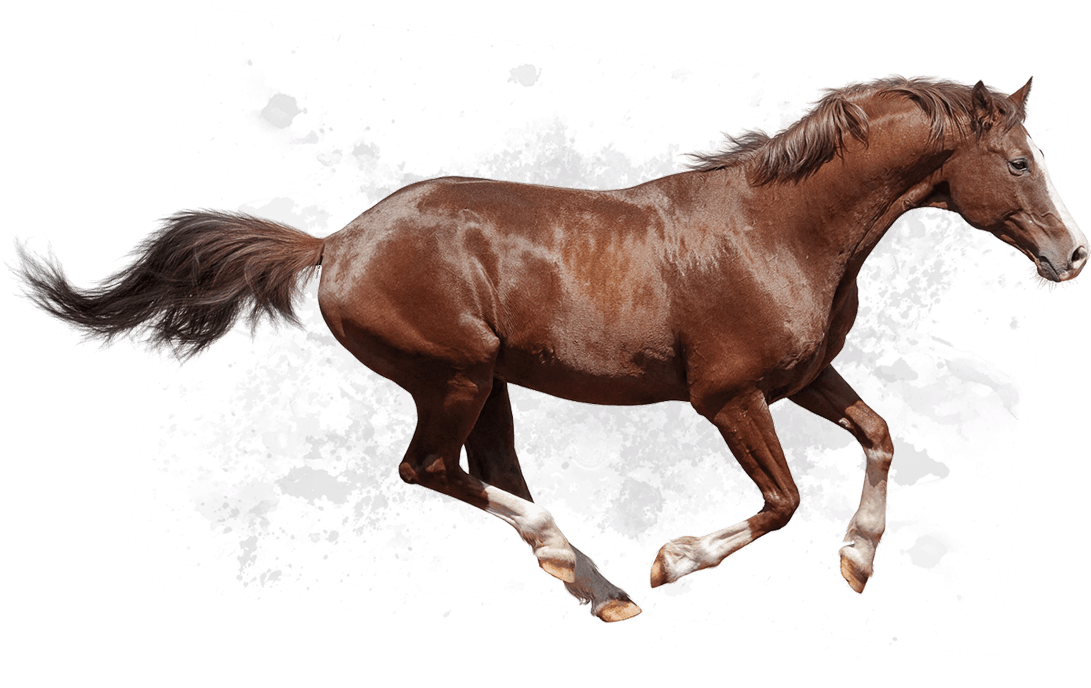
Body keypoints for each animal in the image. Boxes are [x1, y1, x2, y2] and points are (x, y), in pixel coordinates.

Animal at [8, 76, 1086, 623]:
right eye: (1015, 160)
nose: (1072, 254)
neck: (779, 230)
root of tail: (336, 244)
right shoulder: (728, 395)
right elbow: (780, 501)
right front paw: (673, 562)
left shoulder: (804, 376)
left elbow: (877, 434)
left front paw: (858, 564)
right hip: (454, 375)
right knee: (432, 470)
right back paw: (589, 564)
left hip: (486, 385)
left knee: (483, 470)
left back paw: (597, 587)